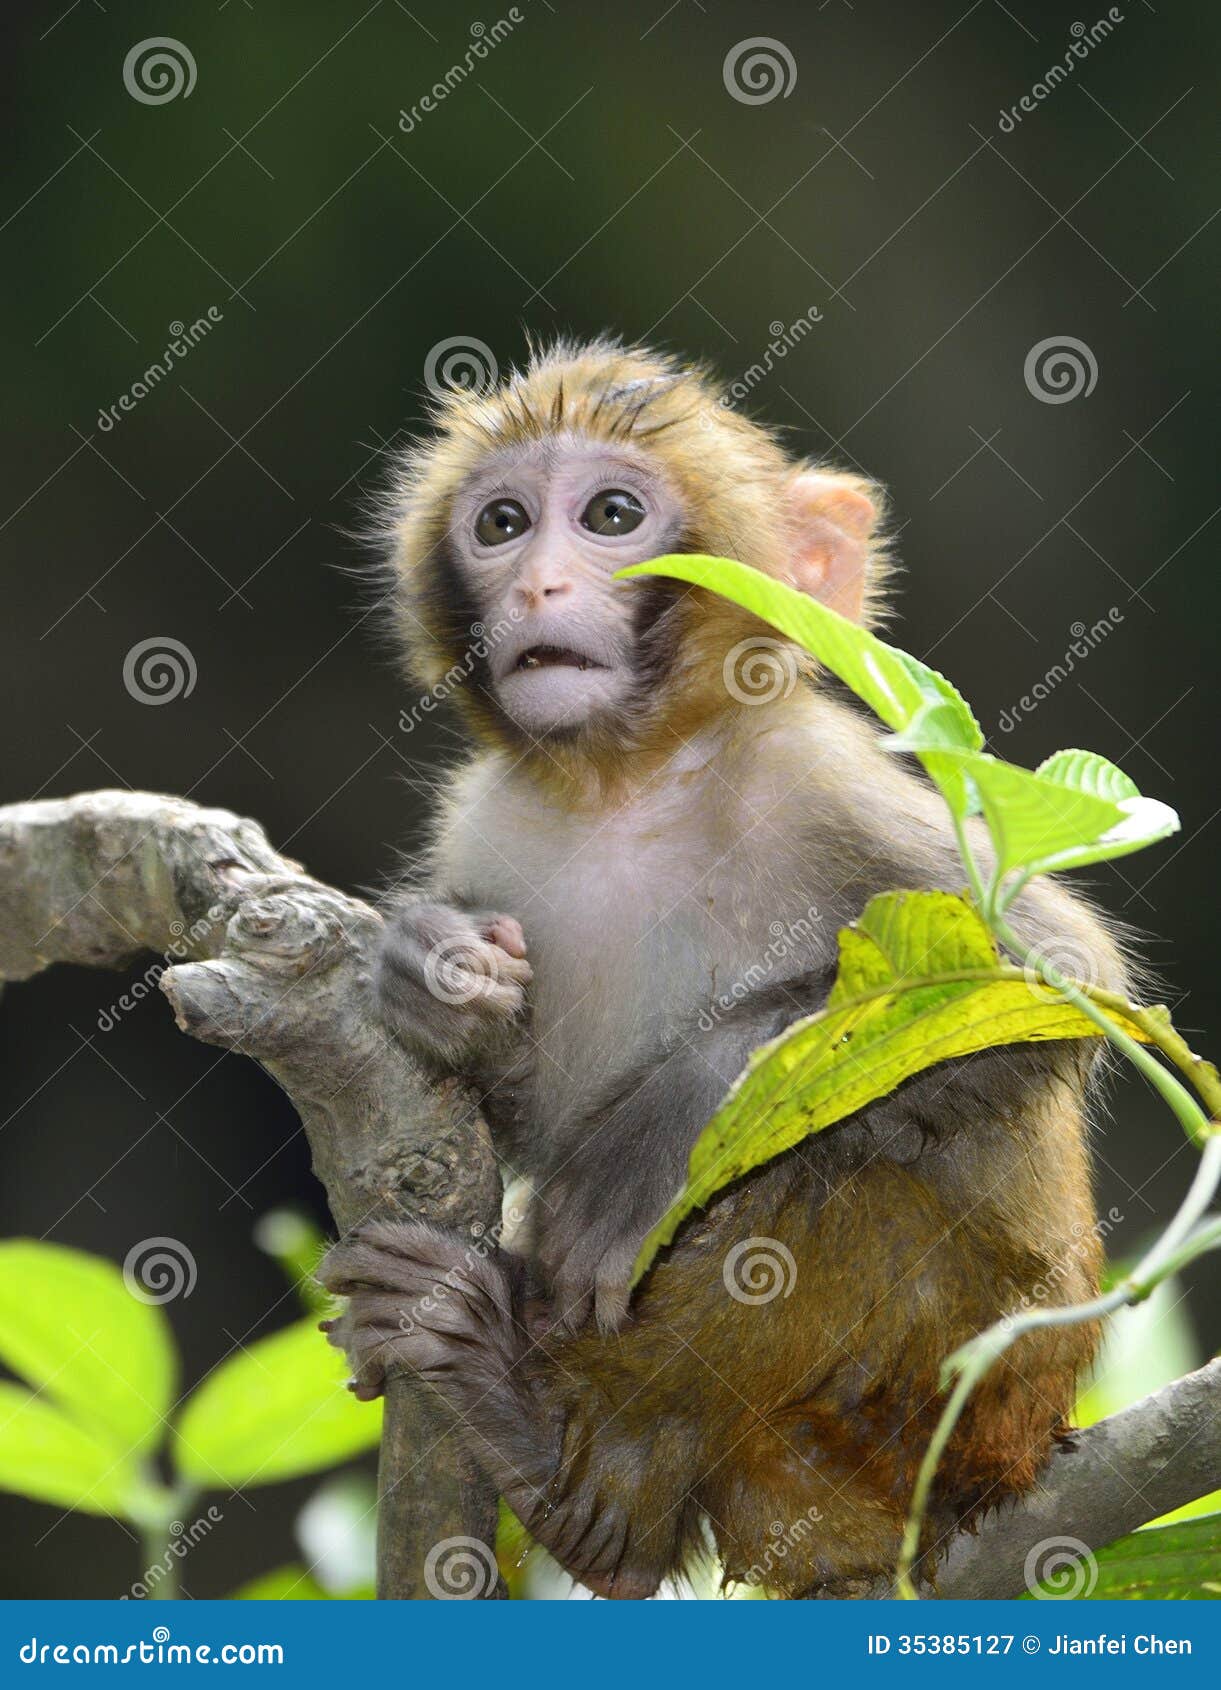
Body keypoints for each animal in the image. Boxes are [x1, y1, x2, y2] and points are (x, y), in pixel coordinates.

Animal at [318, 338, 1128, 1599]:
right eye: (501, 522)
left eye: (611, 515)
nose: (538, 586)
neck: (629, 786)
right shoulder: (486, 829)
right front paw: (426, 974)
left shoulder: (820, 777)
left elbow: (1048, 986)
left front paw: (663, 1123)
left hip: (958, 1414)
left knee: (850, 1171)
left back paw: (569, 1441)